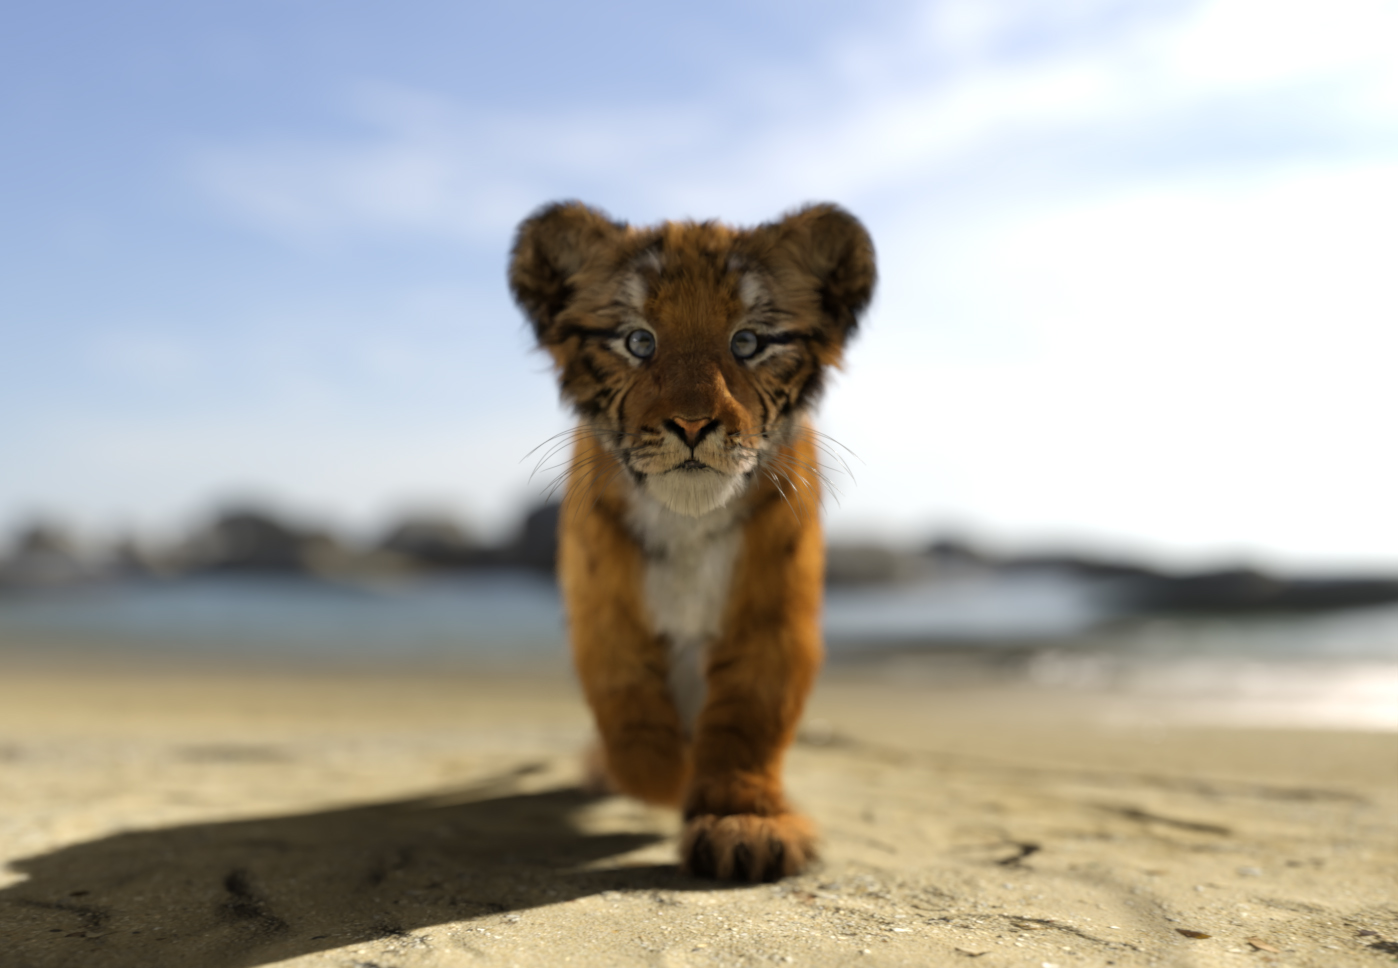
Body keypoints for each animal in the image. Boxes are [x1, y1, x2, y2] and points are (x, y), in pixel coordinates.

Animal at [508, 201, 876, 881]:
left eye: (748, 342)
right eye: (639, 341)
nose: (692, 424)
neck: (688, 522)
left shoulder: (772, 620)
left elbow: (748, 726)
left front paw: (744, 826)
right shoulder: (603, 614)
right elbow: (631, 719)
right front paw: (666, 777)